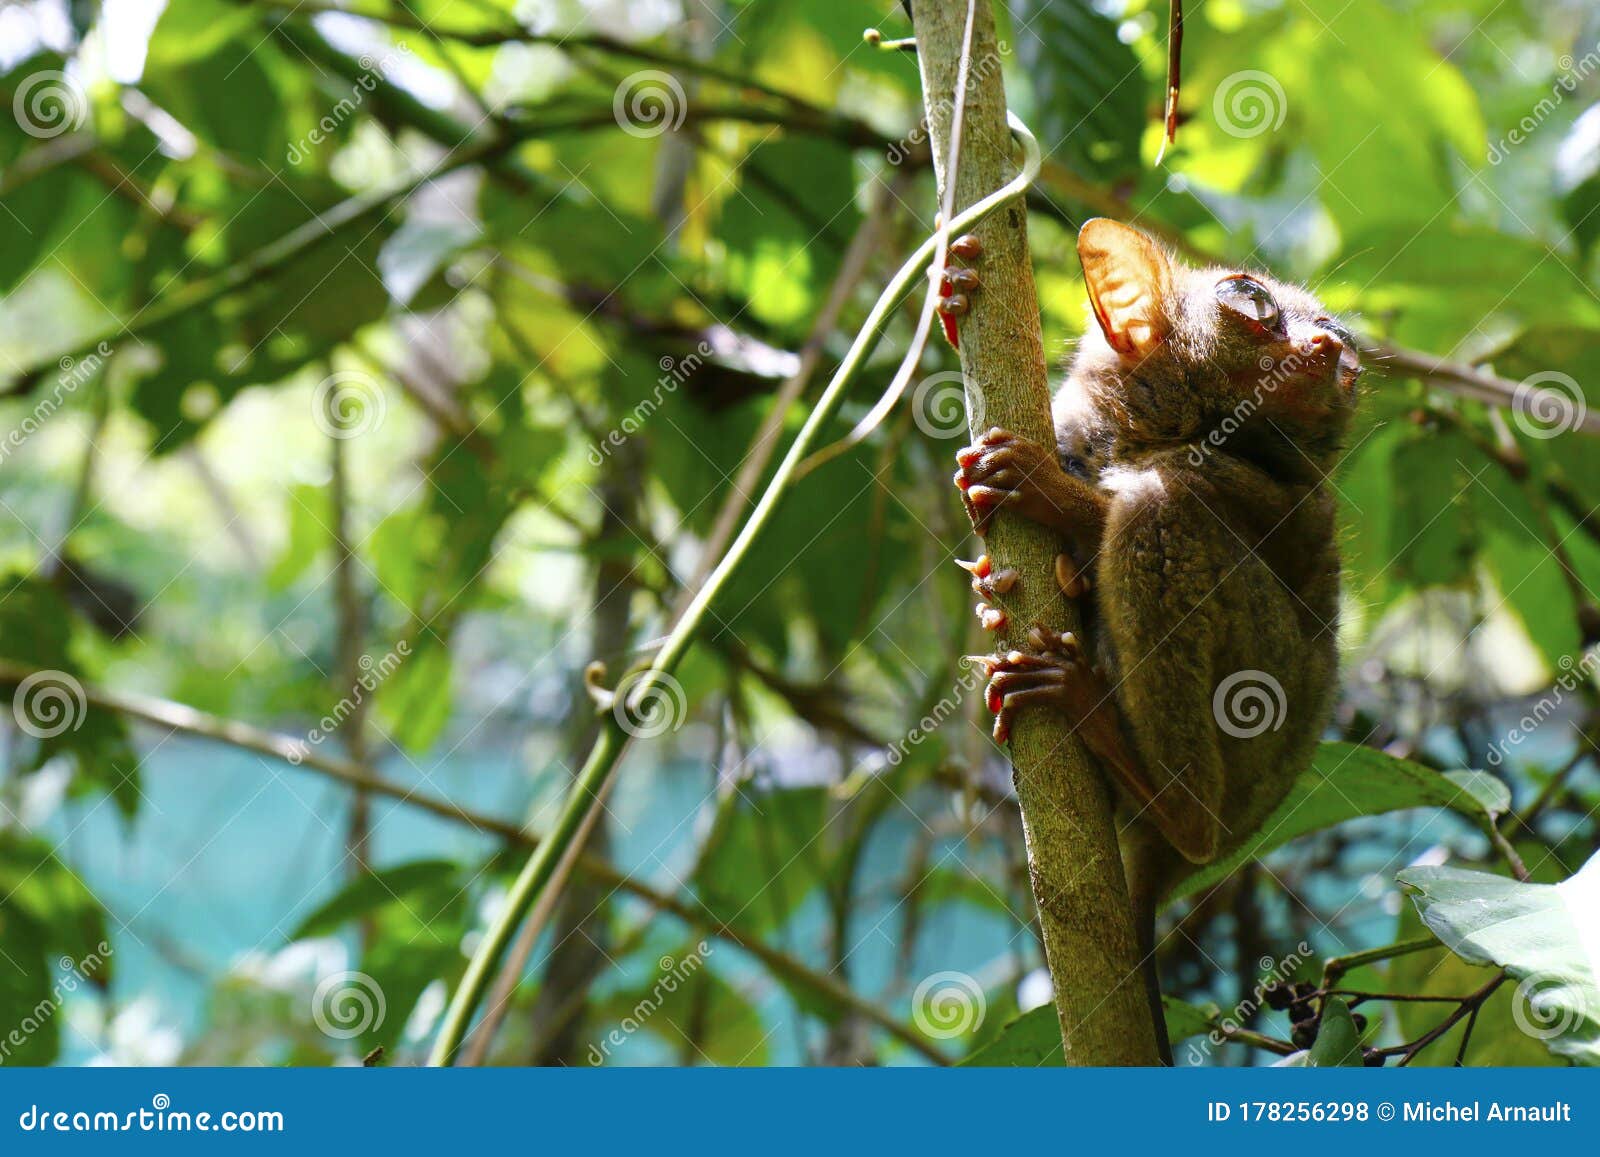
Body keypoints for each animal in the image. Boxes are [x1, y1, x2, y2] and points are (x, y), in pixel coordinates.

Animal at [946, 218, 1362, 1061]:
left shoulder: (1285, 497)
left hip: (1257, 712)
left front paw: (1045, 488)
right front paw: (956, 286)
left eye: (1338, 340)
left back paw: (1111, 736)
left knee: (1155, 507)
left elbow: (1155, 500)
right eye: (1253, 302)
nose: (1332, 350)